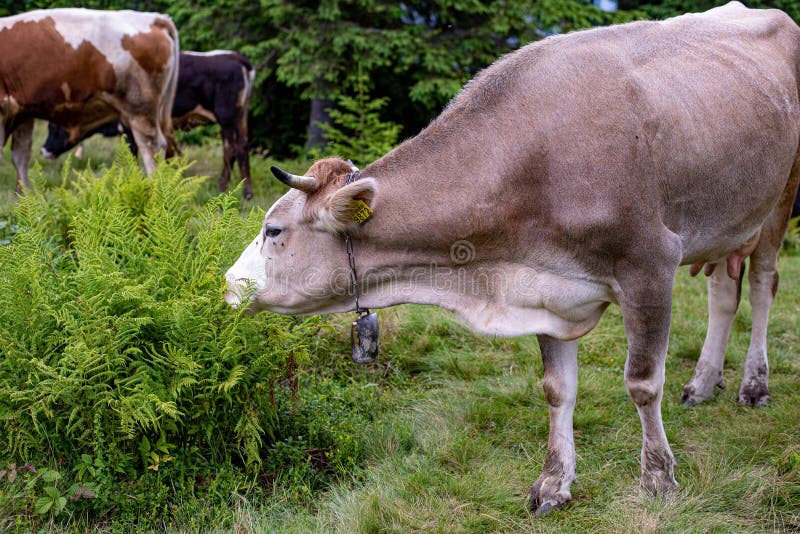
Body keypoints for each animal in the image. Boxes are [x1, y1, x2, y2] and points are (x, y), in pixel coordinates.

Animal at [0, 8, 179, 194]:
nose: (44, 151)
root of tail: (154, 18)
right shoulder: (23, 113)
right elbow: (20, 157)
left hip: (139, 109)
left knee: (151, 148)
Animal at [41, 50, 256, 199]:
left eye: (52, 127)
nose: (43, 150)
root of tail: (234, 56)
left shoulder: (131, 128)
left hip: (227, 116)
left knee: (236, 148)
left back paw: (241, 192)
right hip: (238, 118)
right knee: (235, 148)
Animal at [224, 2, 800, 514]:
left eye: (273, 230)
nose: (228, 283)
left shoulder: (650, 265)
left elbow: (641, 382)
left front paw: (658, 479)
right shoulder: (545, 287)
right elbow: (557, 389)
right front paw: (553, 483)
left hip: (780, 198)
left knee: (762, 285)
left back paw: (754, 383)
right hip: (727, 221)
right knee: (723, 292)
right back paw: (703, 382)